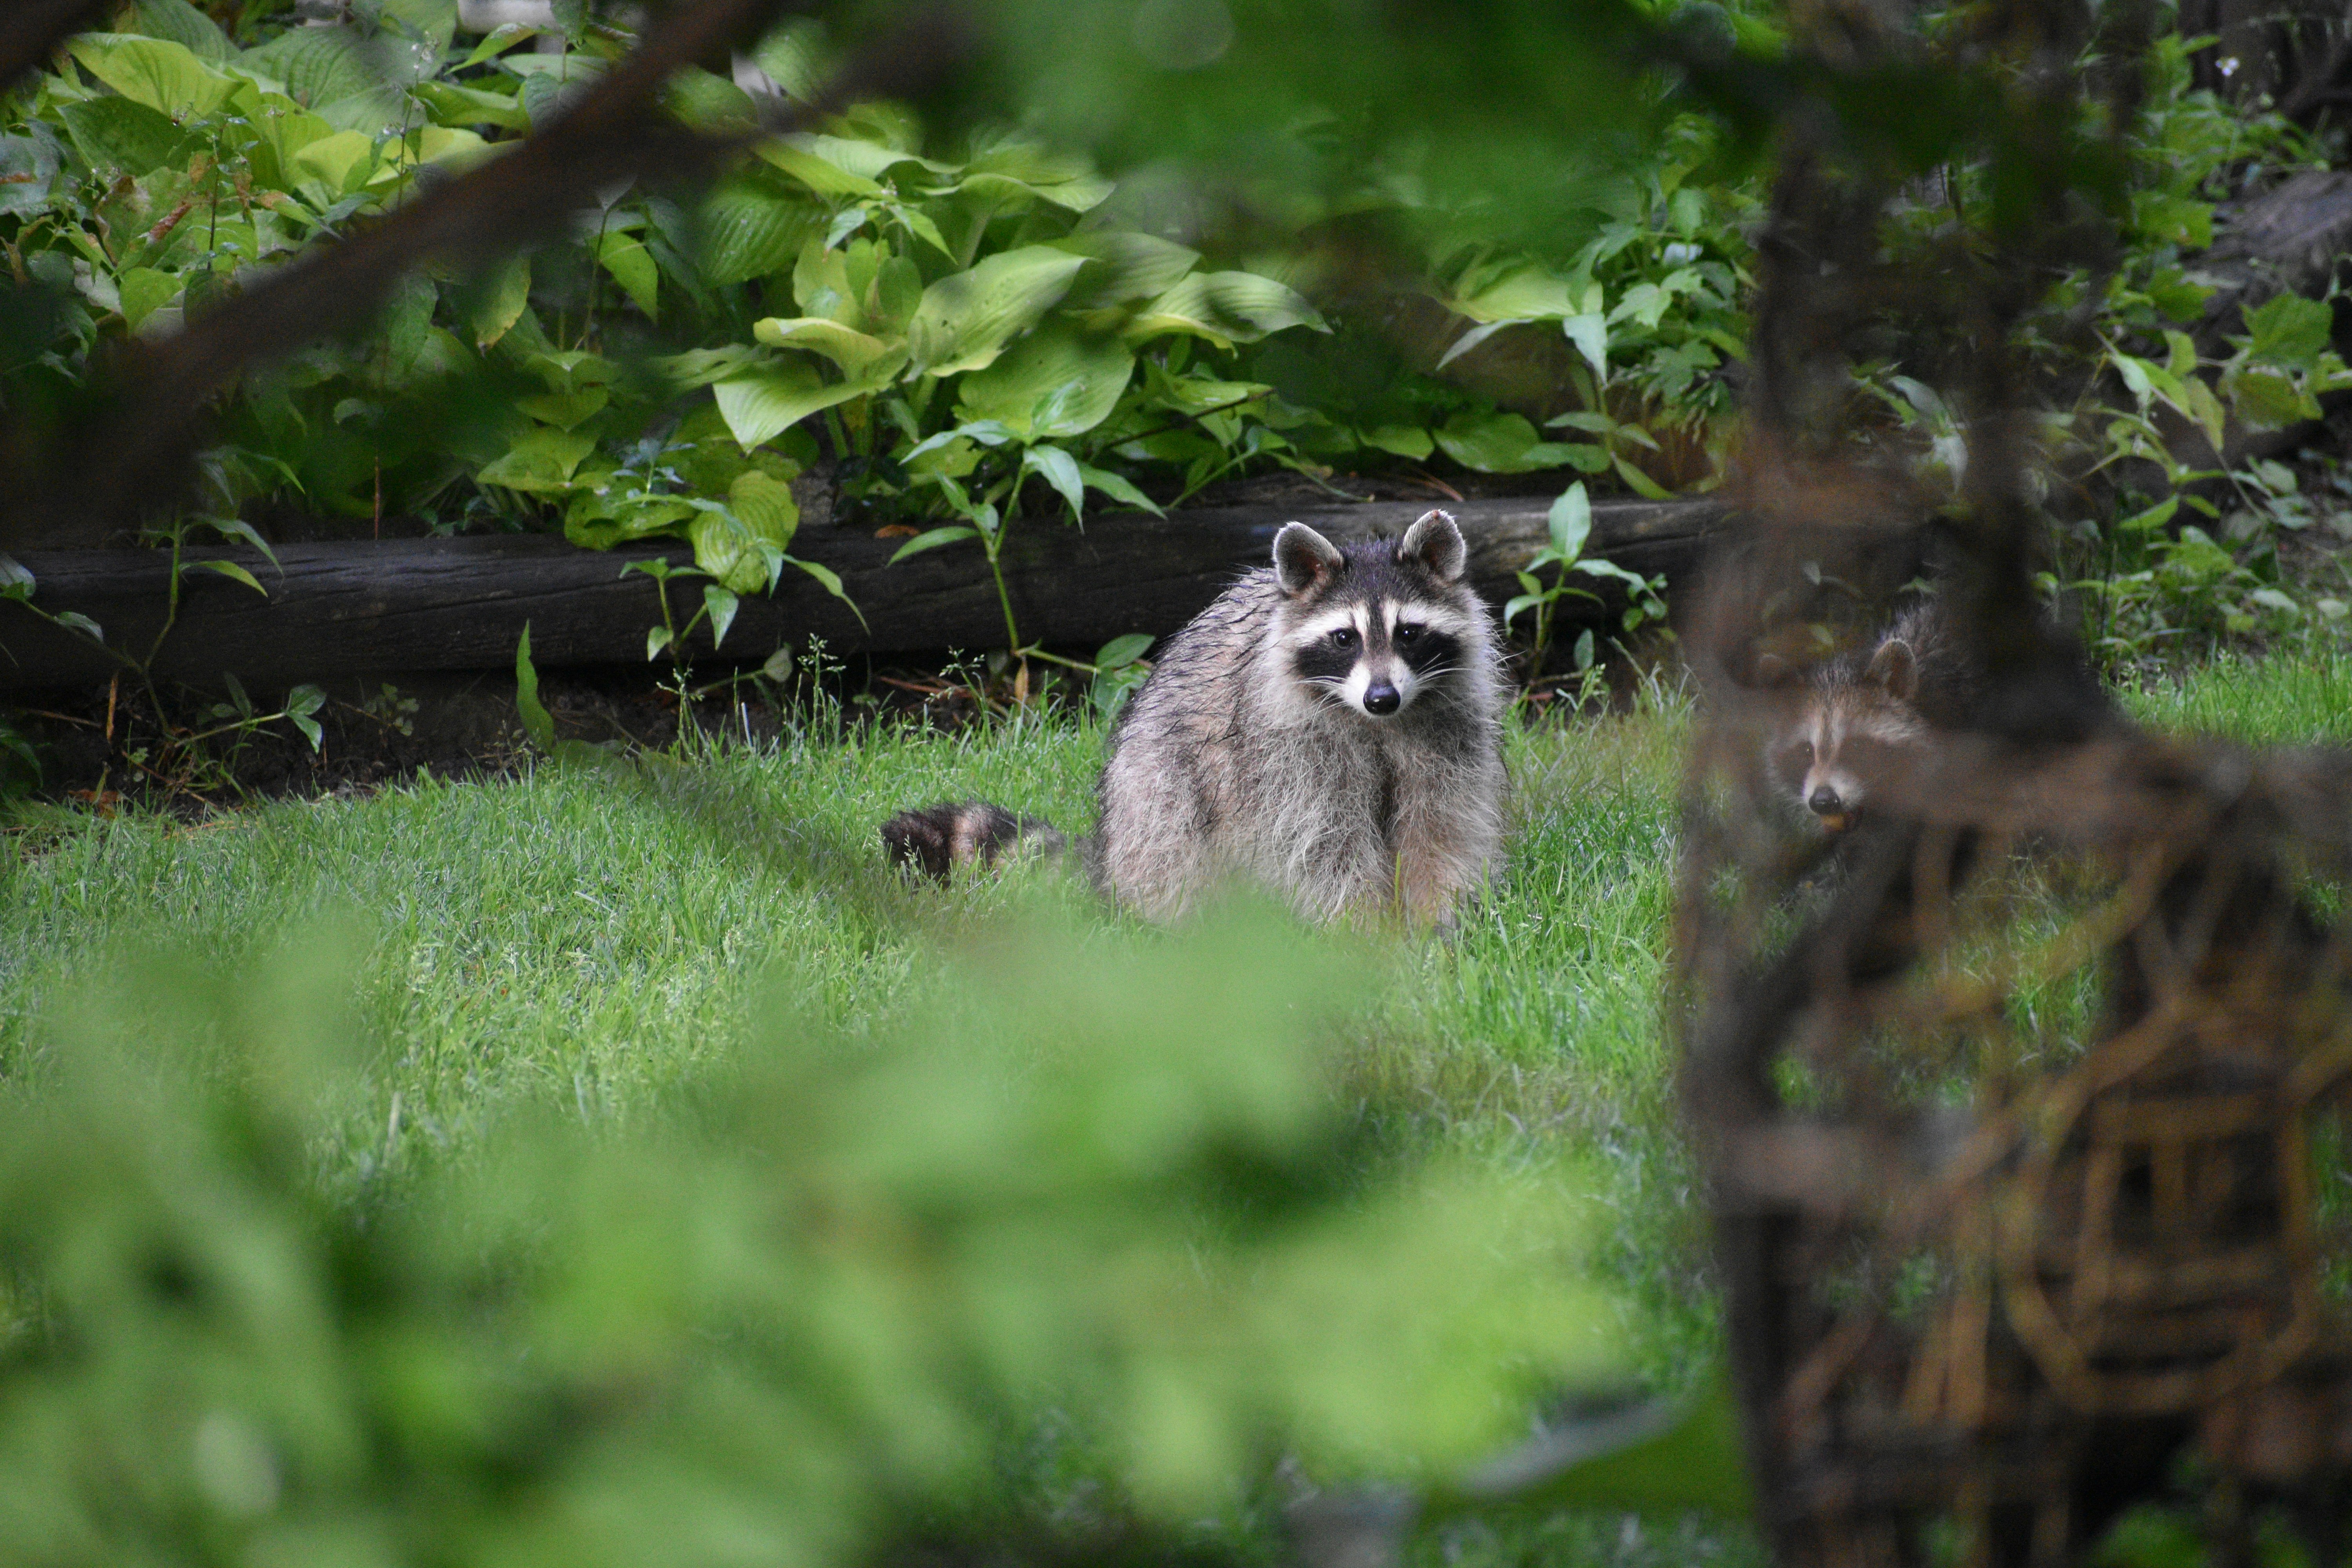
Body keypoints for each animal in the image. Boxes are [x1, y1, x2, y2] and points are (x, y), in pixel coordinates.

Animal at [881, 509, 1508, 928]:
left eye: (1409, 633)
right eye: (1343, 638)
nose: (1382, 698)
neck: (1375, 725)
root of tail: (1109, 858)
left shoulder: (1445, 725)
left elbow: (1439, 826)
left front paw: (1436, 923)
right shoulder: (1286, 751)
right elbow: (1322, 845)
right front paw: (1366, 929)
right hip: (1149, 792)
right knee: (1172, 829)